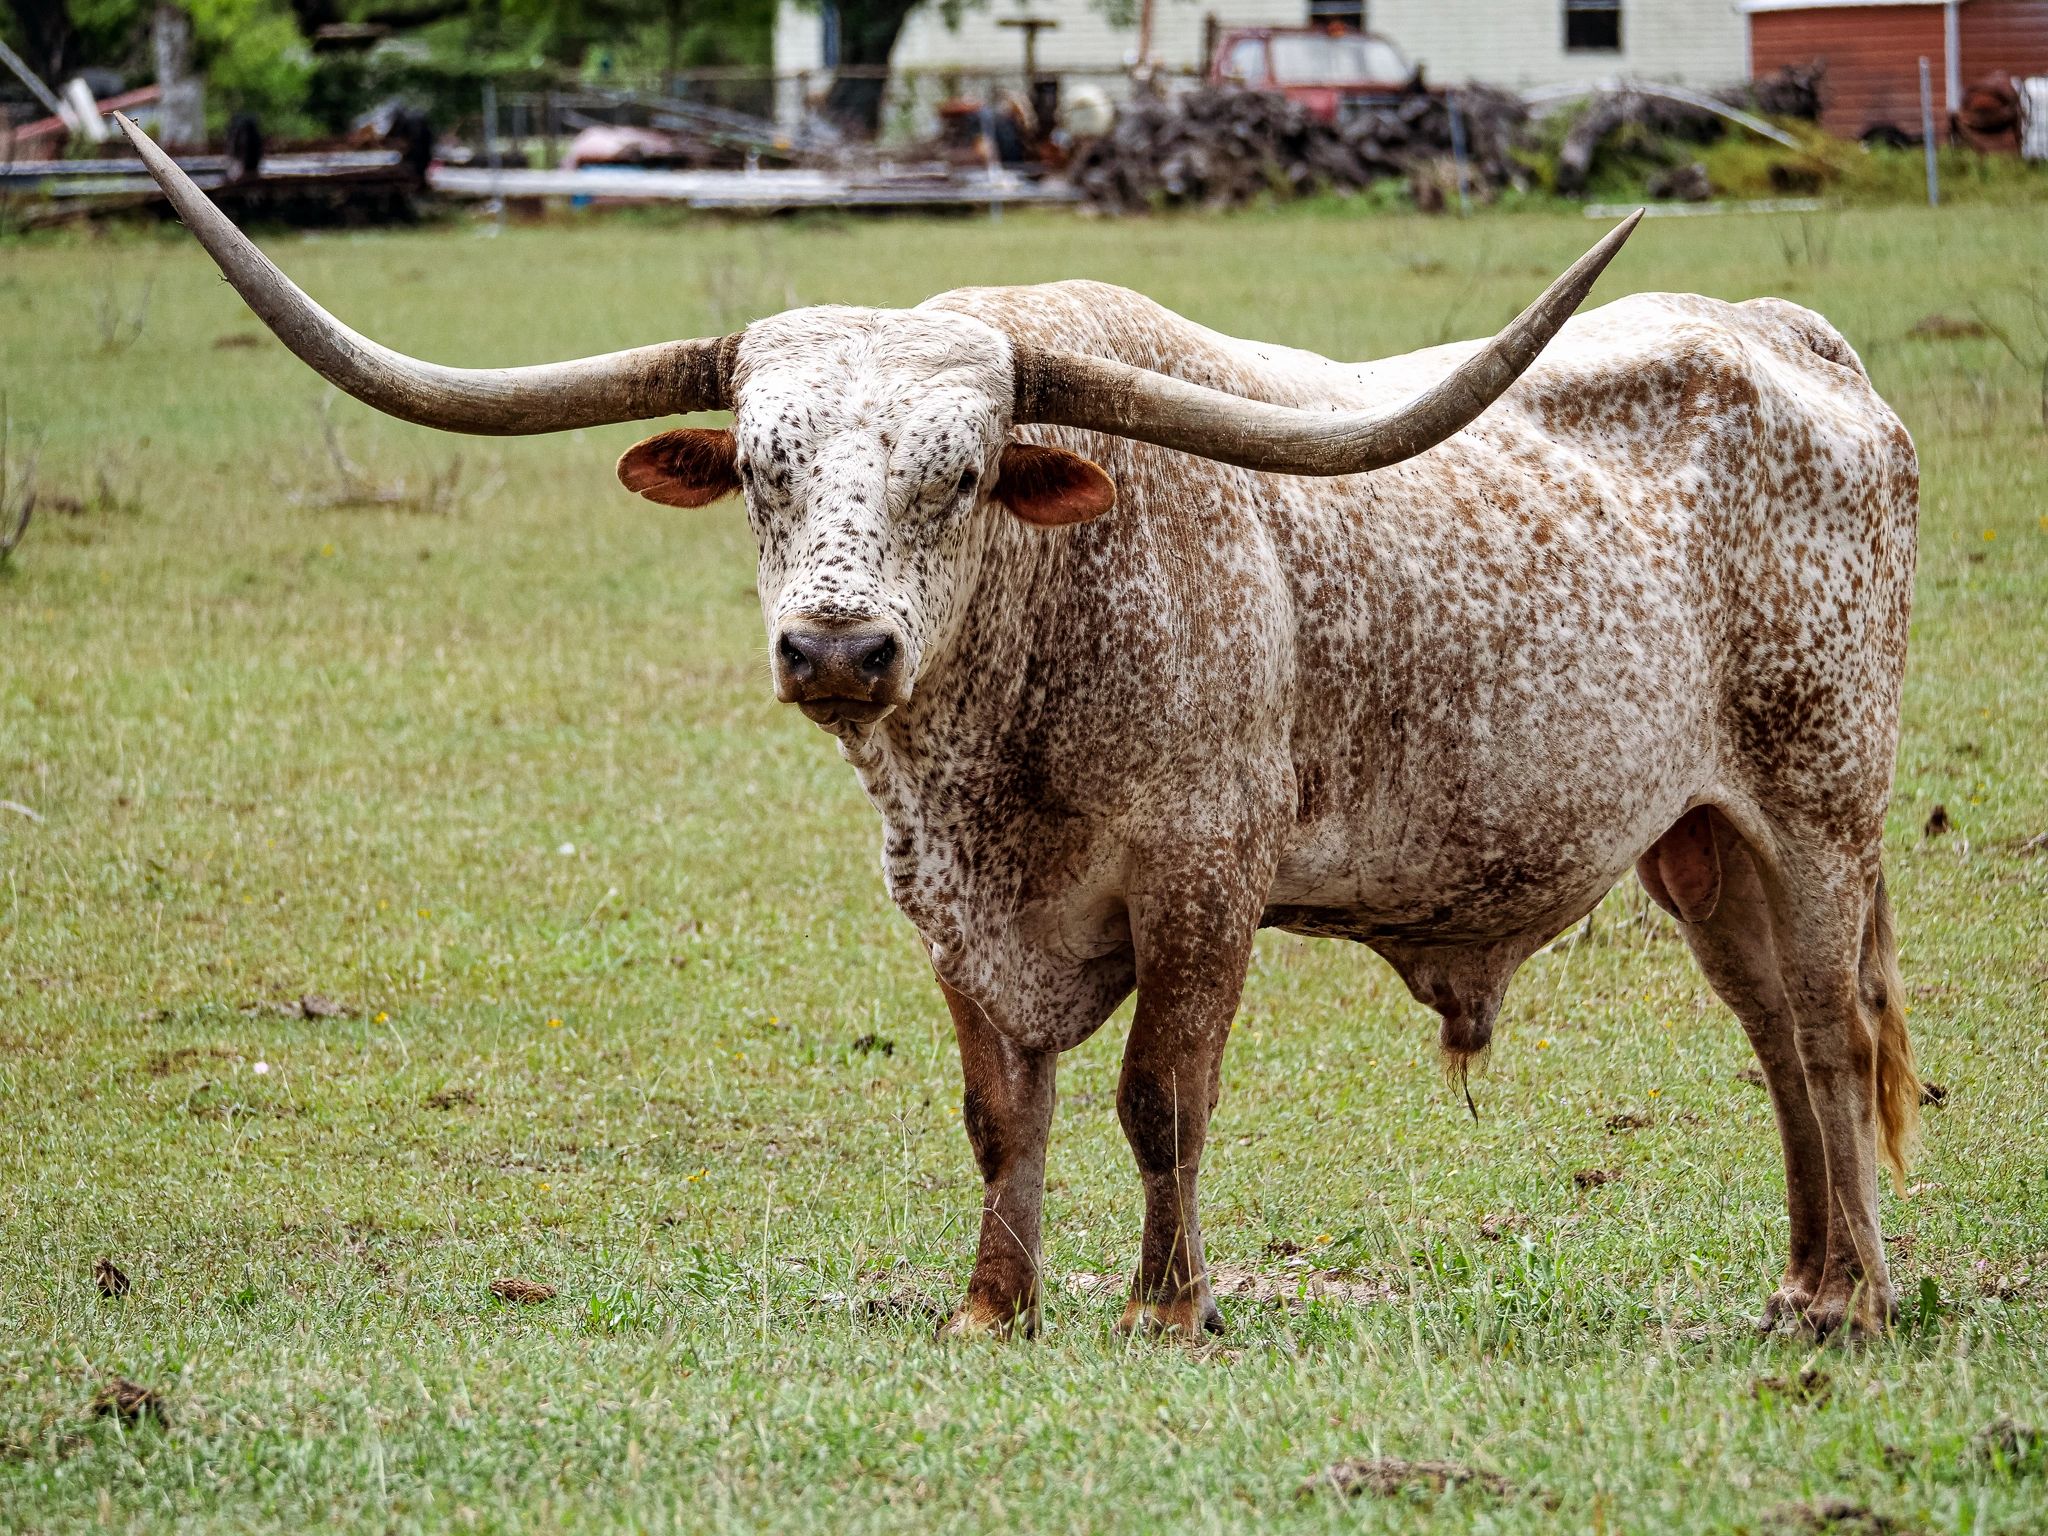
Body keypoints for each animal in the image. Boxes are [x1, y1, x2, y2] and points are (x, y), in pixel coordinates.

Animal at [120, 115, 1920, 1340]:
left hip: (1820, 803)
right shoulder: (948, 905)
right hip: (1699, 842)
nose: (838, 647)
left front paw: (1164, 1306)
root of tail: (1794, 338)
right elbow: (1004, 1109)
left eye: (966, 473)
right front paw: (993, 1305)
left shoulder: (1204, 881)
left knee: (1830, 1031)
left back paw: (1855, 1298)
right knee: (1773, 1035)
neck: (1010, 711)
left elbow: (1158, 1098)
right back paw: (1802, 1275)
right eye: (761, 468)